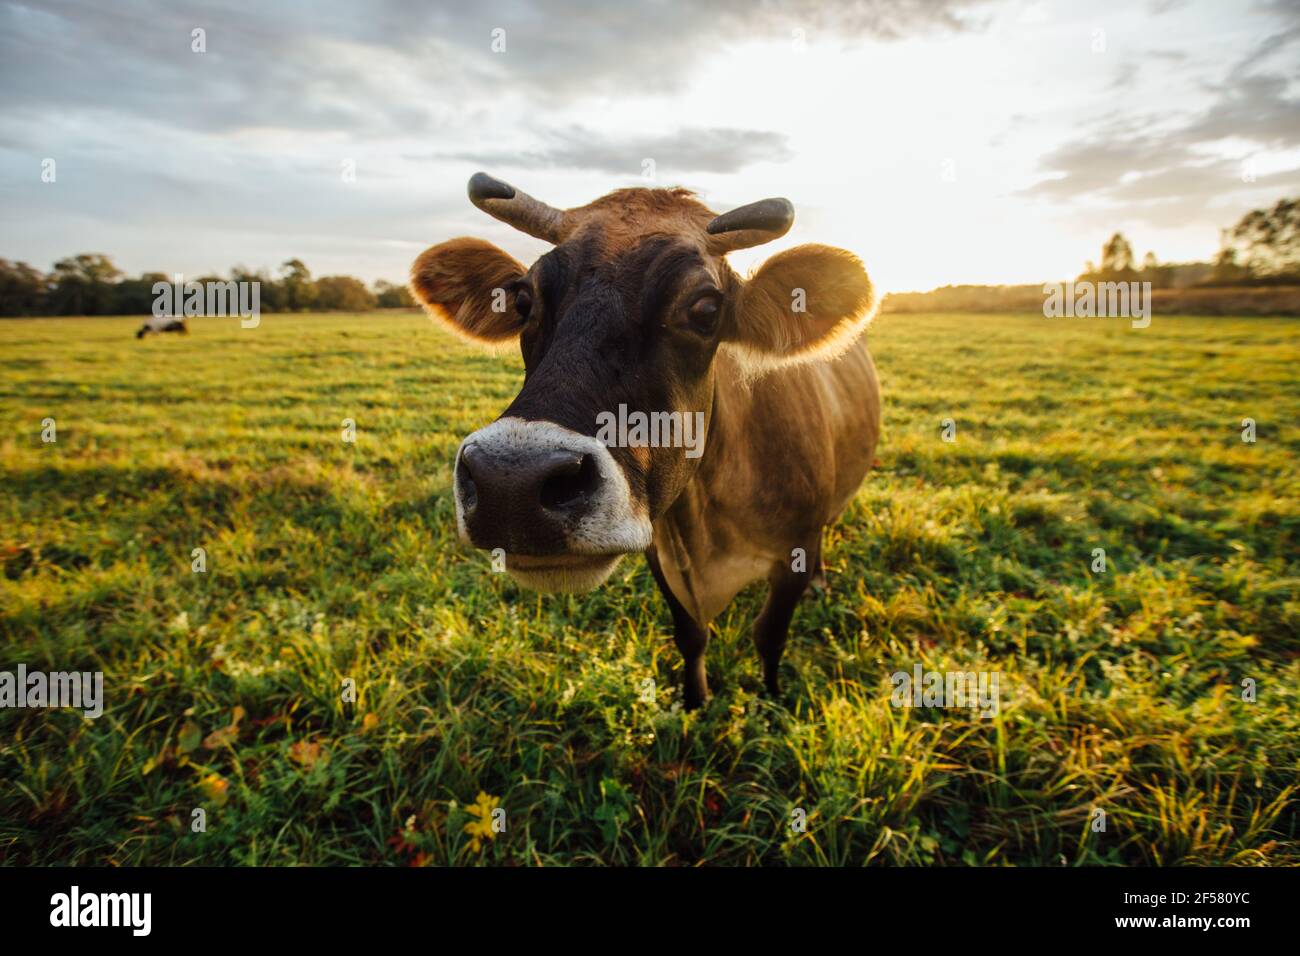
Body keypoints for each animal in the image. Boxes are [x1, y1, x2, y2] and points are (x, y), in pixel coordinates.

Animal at [410, 173, 881, 710]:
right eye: (525, 301)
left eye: (706, 308)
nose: (511, 484)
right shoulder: (660, 550)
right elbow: (690, 635)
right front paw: (694, 703)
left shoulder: (793, 554)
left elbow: (769, 636)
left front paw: (773, 699)